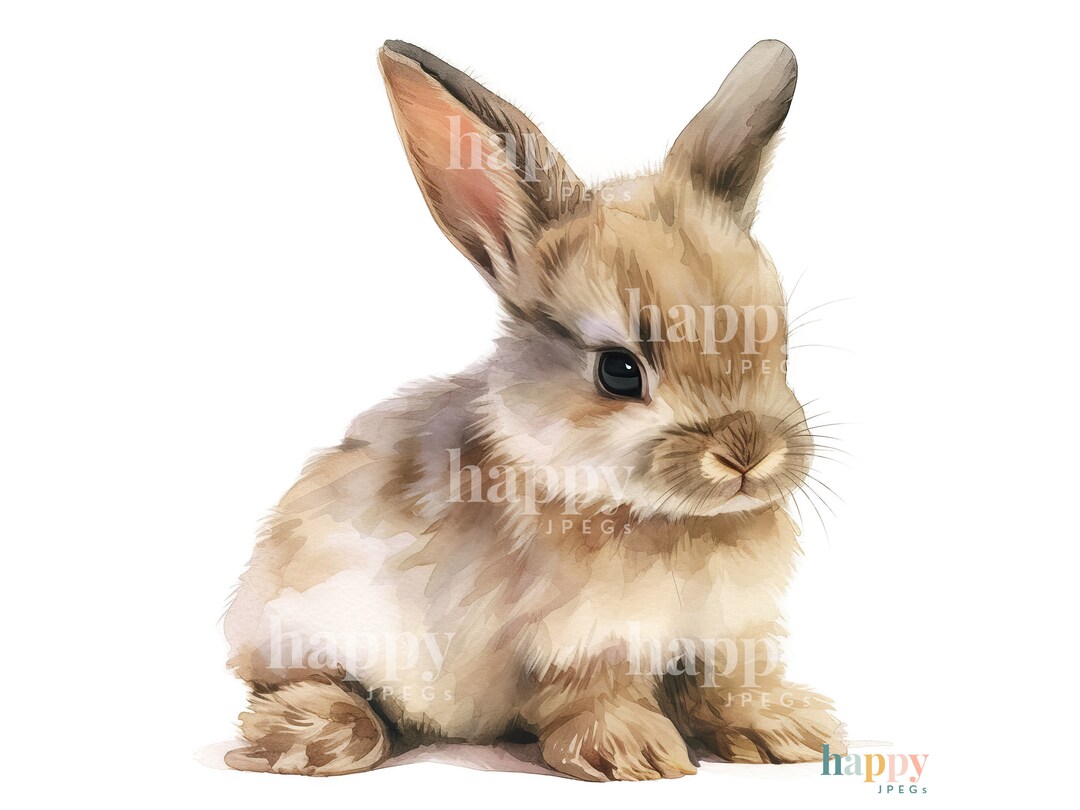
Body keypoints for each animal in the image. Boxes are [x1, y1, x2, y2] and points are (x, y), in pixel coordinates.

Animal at [223, 38, 845, 780]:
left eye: (779, 345)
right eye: (618, 371)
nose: (748, 452)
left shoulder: (729, 632)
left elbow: (730, 683)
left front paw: (788, 731)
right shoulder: (577, 641)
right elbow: (593, 692)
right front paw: (633, 754)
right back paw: (316, 732)